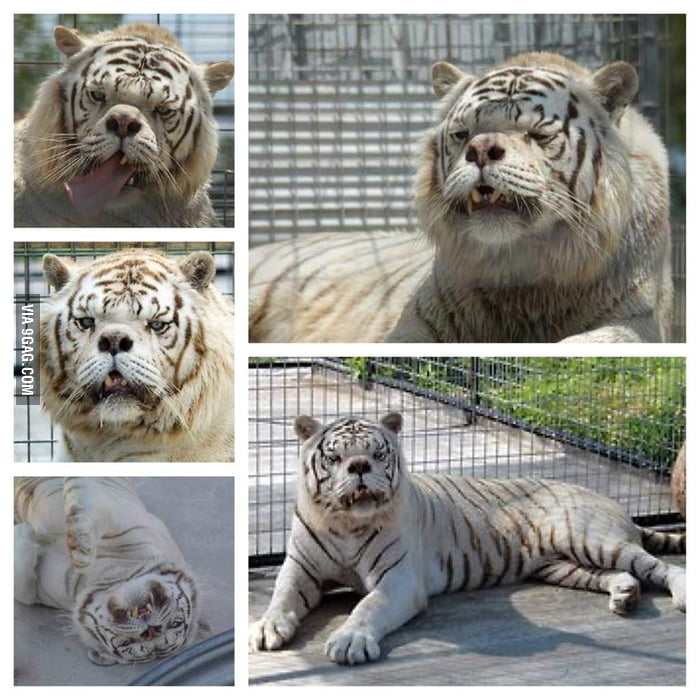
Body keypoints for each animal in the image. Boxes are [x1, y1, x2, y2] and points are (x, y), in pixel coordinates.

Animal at [15, 477, 201, 666]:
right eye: (175, 623)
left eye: (127, 643)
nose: (152, 630)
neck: (105, 573)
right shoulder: (121, 515)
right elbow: (89, 501)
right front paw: (81, 545)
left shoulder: (40, 590)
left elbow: (25, 589)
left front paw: (23, 532)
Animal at [249, 52, 672, 343]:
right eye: (462, 133)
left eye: (538, 134)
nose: (482, 149)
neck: (528, 278)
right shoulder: (416, 325)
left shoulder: (635, 320)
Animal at [249, 413, 686, 665]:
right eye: (336, 457)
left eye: (377, 454)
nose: (359, 467)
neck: (345, 523)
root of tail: (607, 498)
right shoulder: (301, 567)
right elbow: (282, 597)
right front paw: (266, 628)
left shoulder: (399, 579)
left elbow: (368, 606)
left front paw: (349, 640)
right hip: (563, 566)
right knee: (621, 575)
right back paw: (625, 595)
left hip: (591, 538)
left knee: (660, 568)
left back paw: (679, 594)